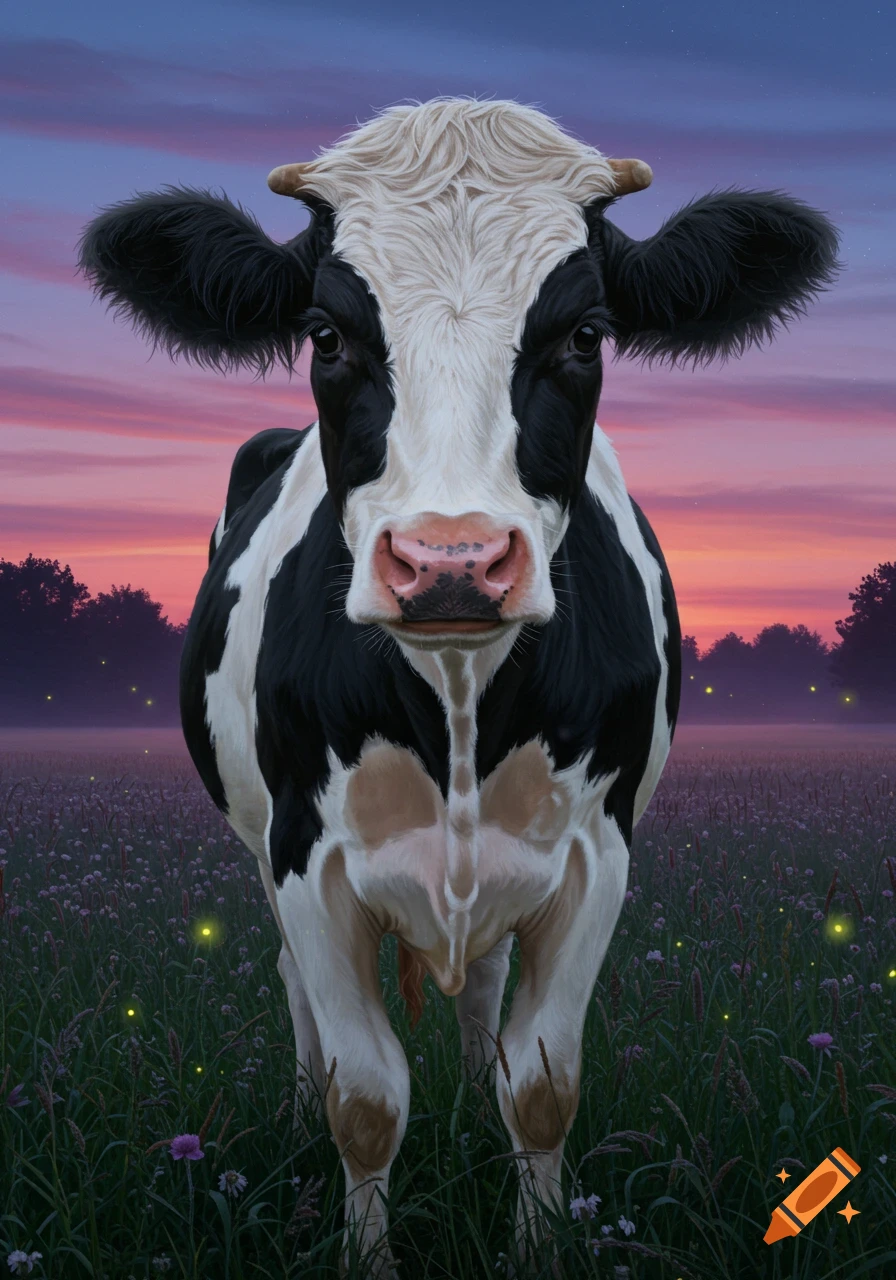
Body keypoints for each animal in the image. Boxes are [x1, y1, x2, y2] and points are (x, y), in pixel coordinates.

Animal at [78, 97, 840, 1275]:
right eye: (325, 333)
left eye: (585, 335)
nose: (450, 561)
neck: (458, 700)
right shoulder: (307, 855)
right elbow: (365, 1099)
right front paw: (363, 1251)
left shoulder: (597, 853)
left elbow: (542, 1084)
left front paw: (536, 1244)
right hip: (259, 844)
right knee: (298, 993)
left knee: (482, 993)